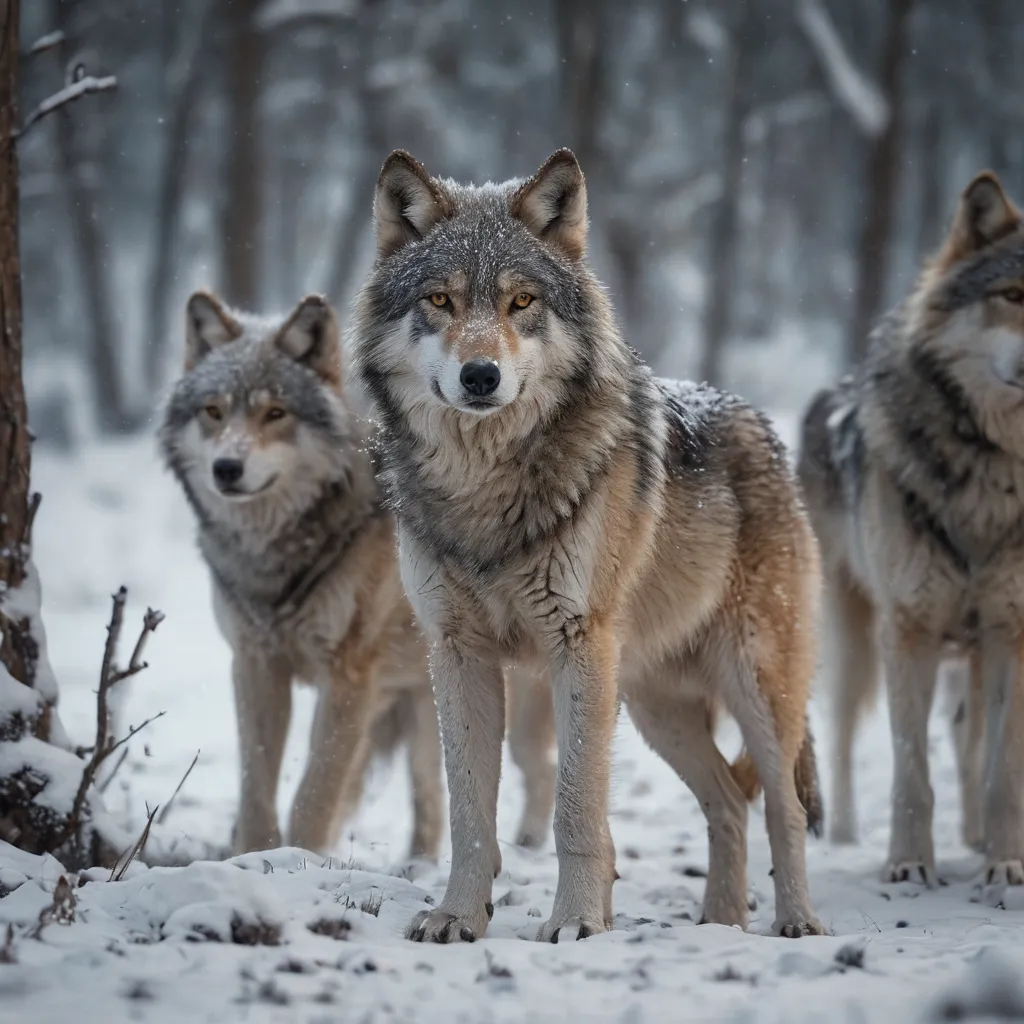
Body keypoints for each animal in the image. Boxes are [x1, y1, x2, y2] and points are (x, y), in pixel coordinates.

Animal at [159, 291, 556, 860]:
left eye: (275, 413)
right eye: (213, 411)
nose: (226, 469)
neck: (277, 554)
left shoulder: (349, 677)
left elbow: (315, 793)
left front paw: (296, 861)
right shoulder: (255, 665)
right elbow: (256, 788)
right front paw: (251, 858)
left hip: (512, 704)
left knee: (543, 769)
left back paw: (526, 847)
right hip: (427, 704)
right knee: (432, 795)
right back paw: (418, 866)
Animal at [353, 148, 825, 943]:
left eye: (521, 303)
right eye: (441, 301)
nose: (480, 375)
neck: (485, 486)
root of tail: (761, 425)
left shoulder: (577, 647)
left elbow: (577, 807)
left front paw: (576, 922)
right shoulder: (457, 653)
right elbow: (469, 813)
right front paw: (457, 916)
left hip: (750, 684)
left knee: (783, 806)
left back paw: (797, 923)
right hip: (652, 704)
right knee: (729, 801)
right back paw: (720, 924)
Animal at [798, 171, 1024, 899]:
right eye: (1013, 295)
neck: (990, 475)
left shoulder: (1010, 632)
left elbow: (1001, 768)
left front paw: (1004, 863)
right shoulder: (910, 629)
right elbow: (910, 770)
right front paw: (907, 864)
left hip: (971, 655)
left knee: (966, 737)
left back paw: (976, 836)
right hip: (852, 638)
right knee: (841, 731)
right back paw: (842, 833)